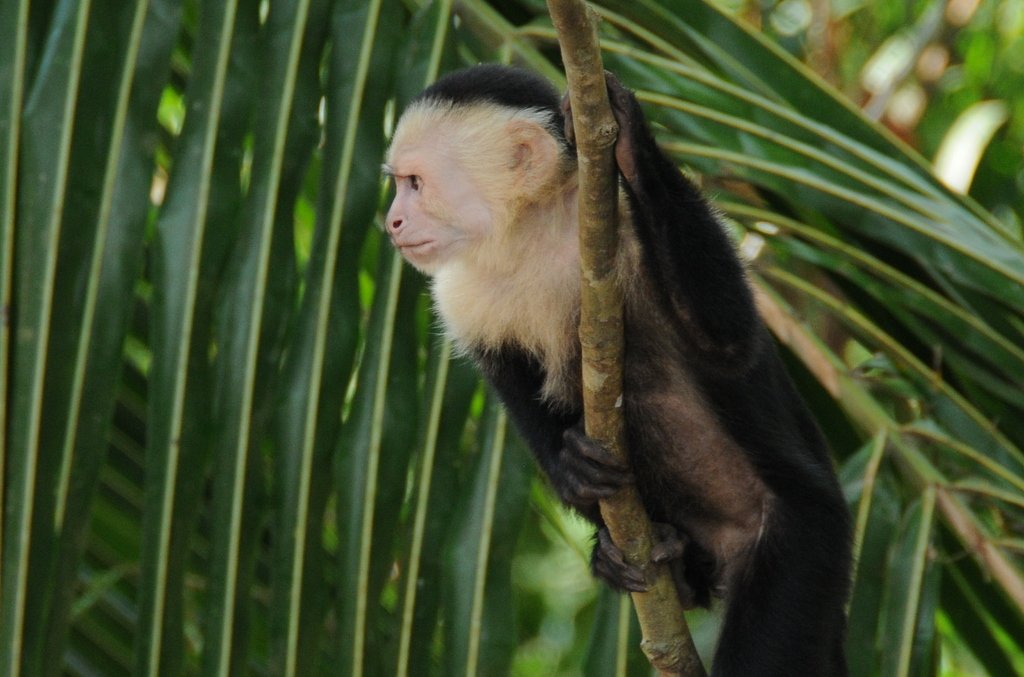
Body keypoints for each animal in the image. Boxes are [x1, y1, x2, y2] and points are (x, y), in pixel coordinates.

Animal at [383, 64, 852, 676]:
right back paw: (666, 560)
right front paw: (572, 467)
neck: (531, 232)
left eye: (415, 184)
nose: (390, 221)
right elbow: (517, 391)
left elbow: (726, 341)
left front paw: (630, 139)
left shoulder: (620, 224)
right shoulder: (462, 296)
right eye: (398, 184)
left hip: (808, 540)